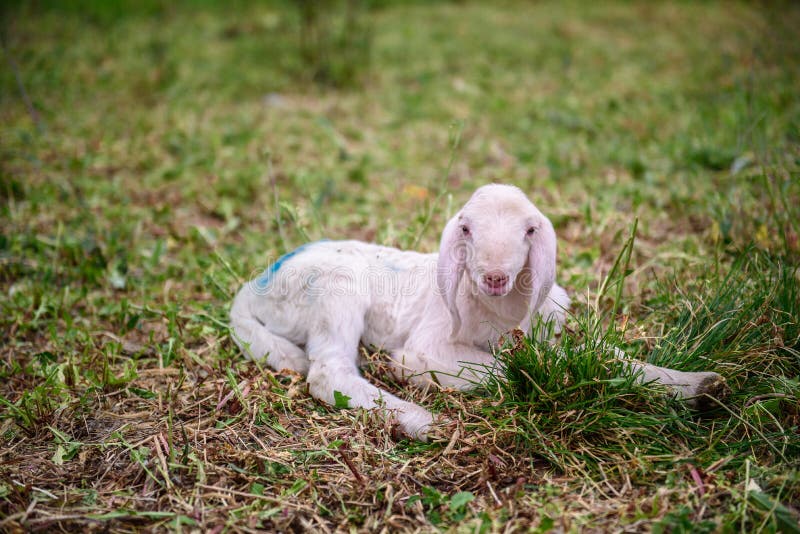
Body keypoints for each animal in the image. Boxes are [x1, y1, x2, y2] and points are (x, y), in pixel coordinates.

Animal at [230, 184, 727, 440]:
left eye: (530, 230)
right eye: (466, 228)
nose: (494, 276)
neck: (501, 312)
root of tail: (257, 284)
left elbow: (607, 358)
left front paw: (699, 387)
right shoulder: (427, 346)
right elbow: (506, 369)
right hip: (336, 289)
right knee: (327, 373)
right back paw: (421, 421)